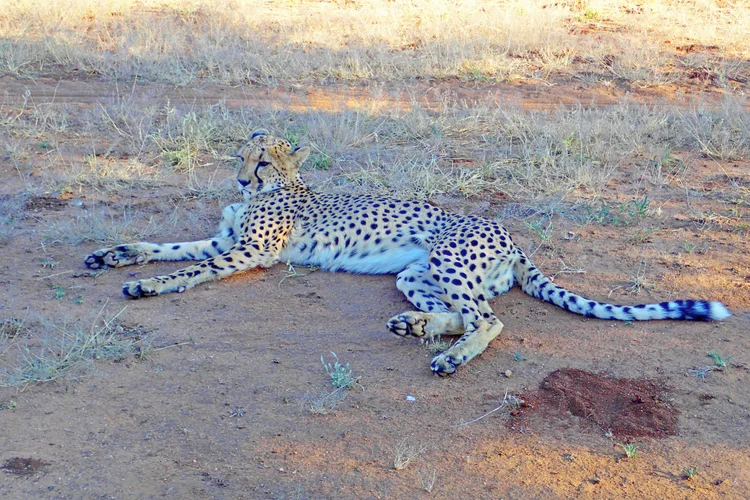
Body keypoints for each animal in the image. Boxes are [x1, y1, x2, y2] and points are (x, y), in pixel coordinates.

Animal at [84, 129, 731, 376]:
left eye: (262, 162)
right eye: (240, 157)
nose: (242, 180)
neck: (277, 189)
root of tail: (509, 233)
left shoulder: (247, 254)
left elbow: (192, 268)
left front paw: (148, 286)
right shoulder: (226, 240)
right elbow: (165, 245)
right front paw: (114, 256)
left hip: (449, 260)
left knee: (490, 321)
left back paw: (450, 357)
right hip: (417, 274)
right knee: (458, 311)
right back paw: (413, 325)